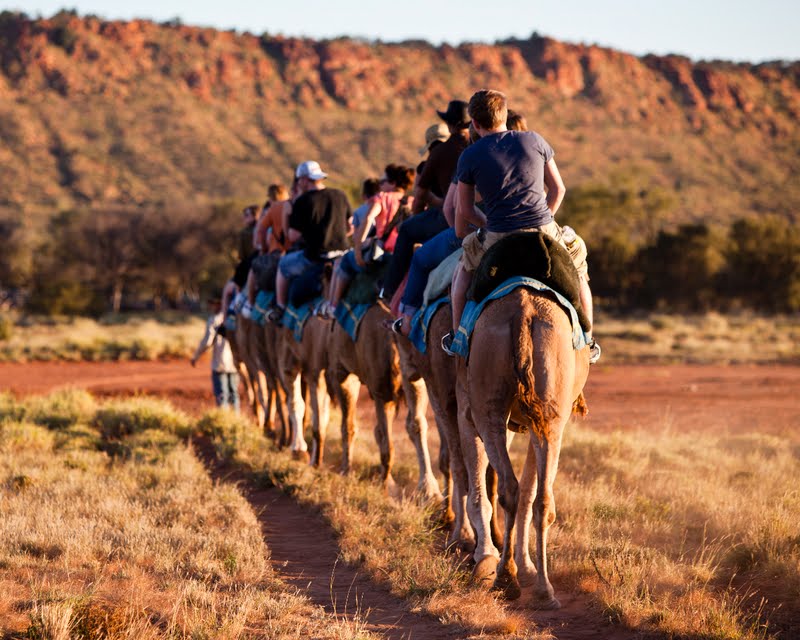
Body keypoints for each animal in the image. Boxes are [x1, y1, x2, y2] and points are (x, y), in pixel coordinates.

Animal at [456, 288, 589, 609]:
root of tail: (523, 311)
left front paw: (523, 567)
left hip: (498, 404)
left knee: (517, 491)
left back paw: (516, 580)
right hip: (545, 413)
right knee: (530, 493)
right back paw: (525, 584)